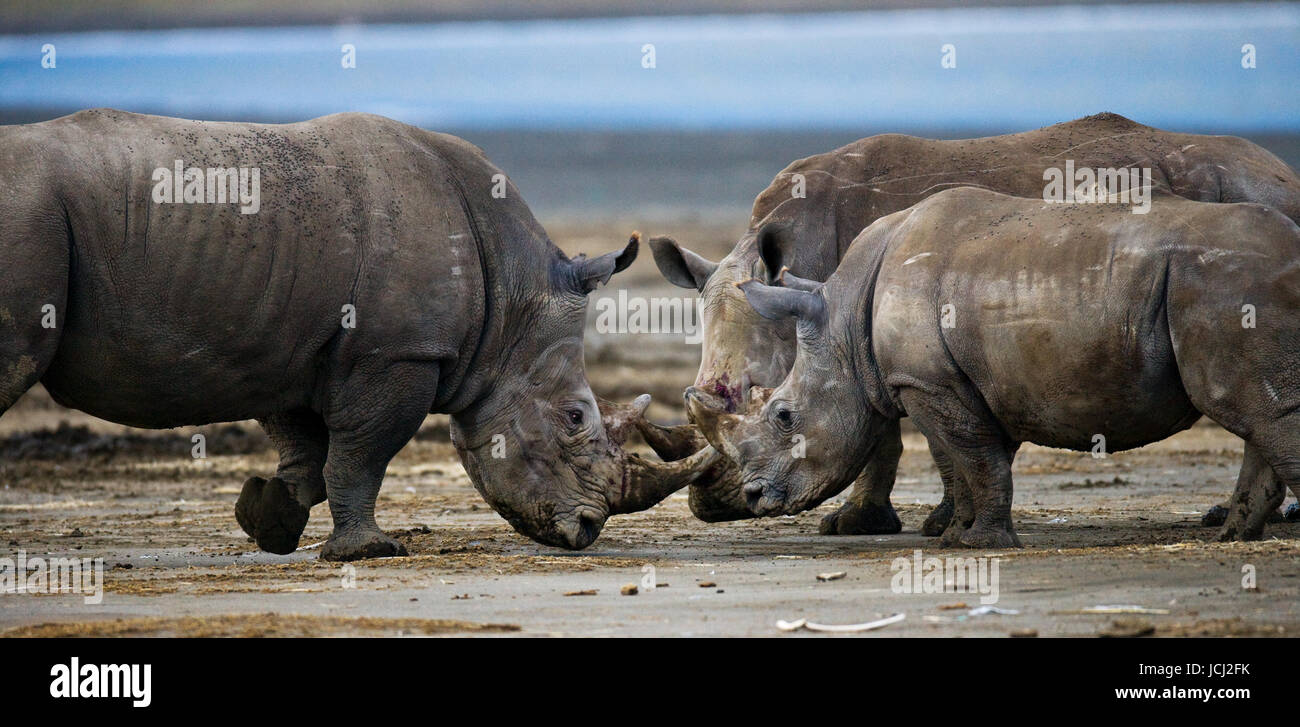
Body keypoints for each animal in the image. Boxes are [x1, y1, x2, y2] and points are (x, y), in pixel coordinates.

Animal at [0, 109, 708, 561]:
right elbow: (364, 452)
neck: (512, 301)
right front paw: (368, 552)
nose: (587, 529)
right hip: (29, 215)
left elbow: (306, 451)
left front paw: (267, 518)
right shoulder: (395, 352)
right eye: (573, 419)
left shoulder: (288, 344)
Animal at [642, 113, 1300, 534]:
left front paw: (875, 525)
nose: (713, 504)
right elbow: (910, 433)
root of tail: (1283, 173)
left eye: (760, 396)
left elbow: (906, 436)